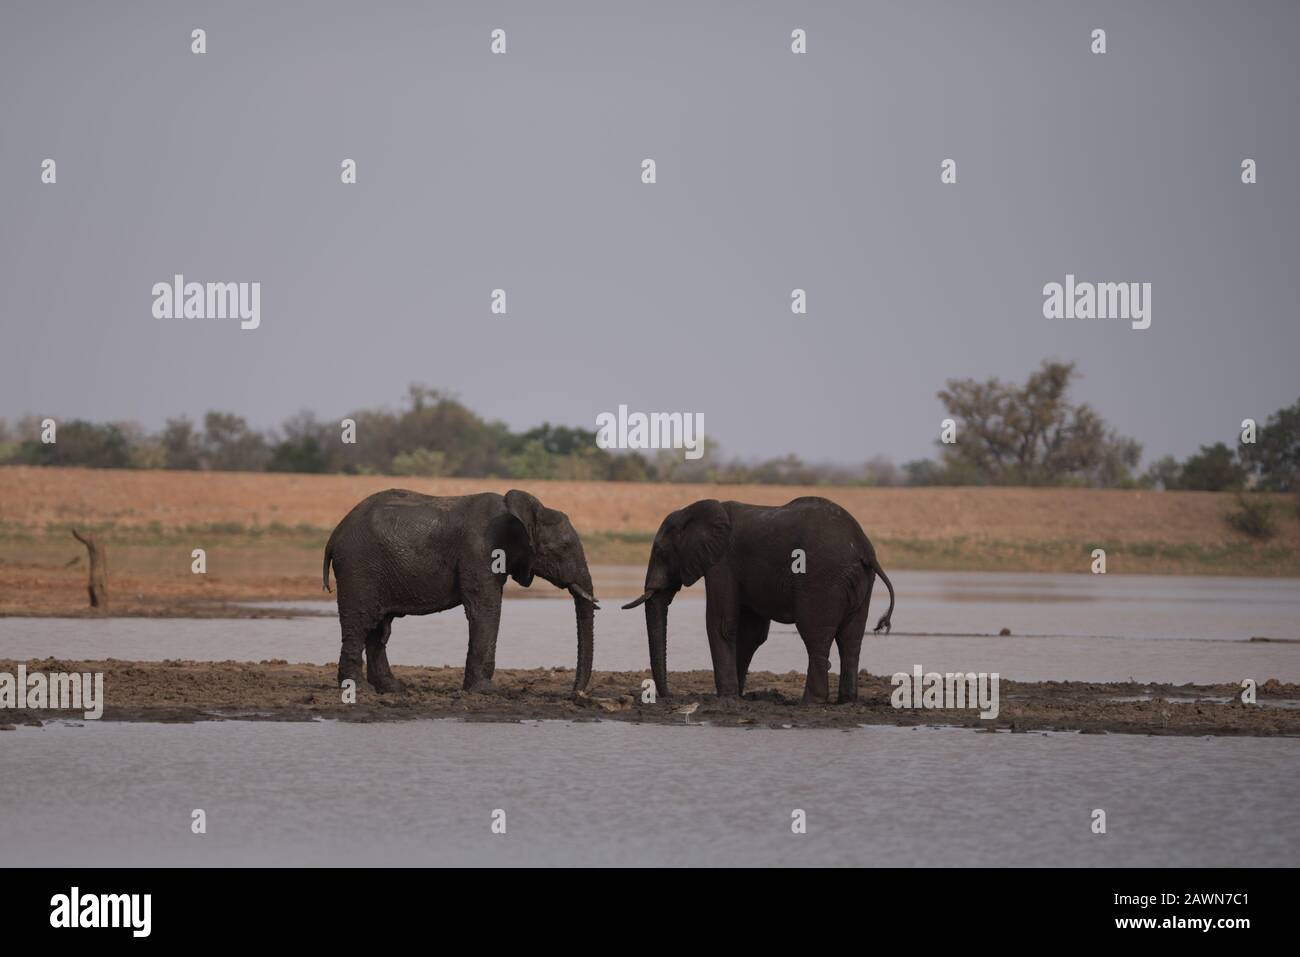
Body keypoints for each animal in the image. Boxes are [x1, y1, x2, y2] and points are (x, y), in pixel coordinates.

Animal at [322, 488, 597, 694]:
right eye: (564, 547)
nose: (575, 693)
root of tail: (334, 535)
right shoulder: (480, 552)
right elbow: (485, 609)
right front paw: (486, 691)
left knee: (378, 628)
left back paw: (392, 689)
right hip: (358, 568)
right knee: (359, 623)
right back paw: (359, 689)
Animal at [622, 496, 895, 705]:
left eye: (660, 552)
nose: (668, 696)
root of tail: (865, 549)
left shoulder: (722, 563)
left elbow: (721, 624)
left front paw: (726, 697)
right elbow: (751, 634)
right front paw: (737, 695)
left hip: (822, 580)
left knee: (815, 636)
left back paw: (810, 702)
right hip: (859, 582)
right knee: (851, 639)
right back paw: (846, 701)